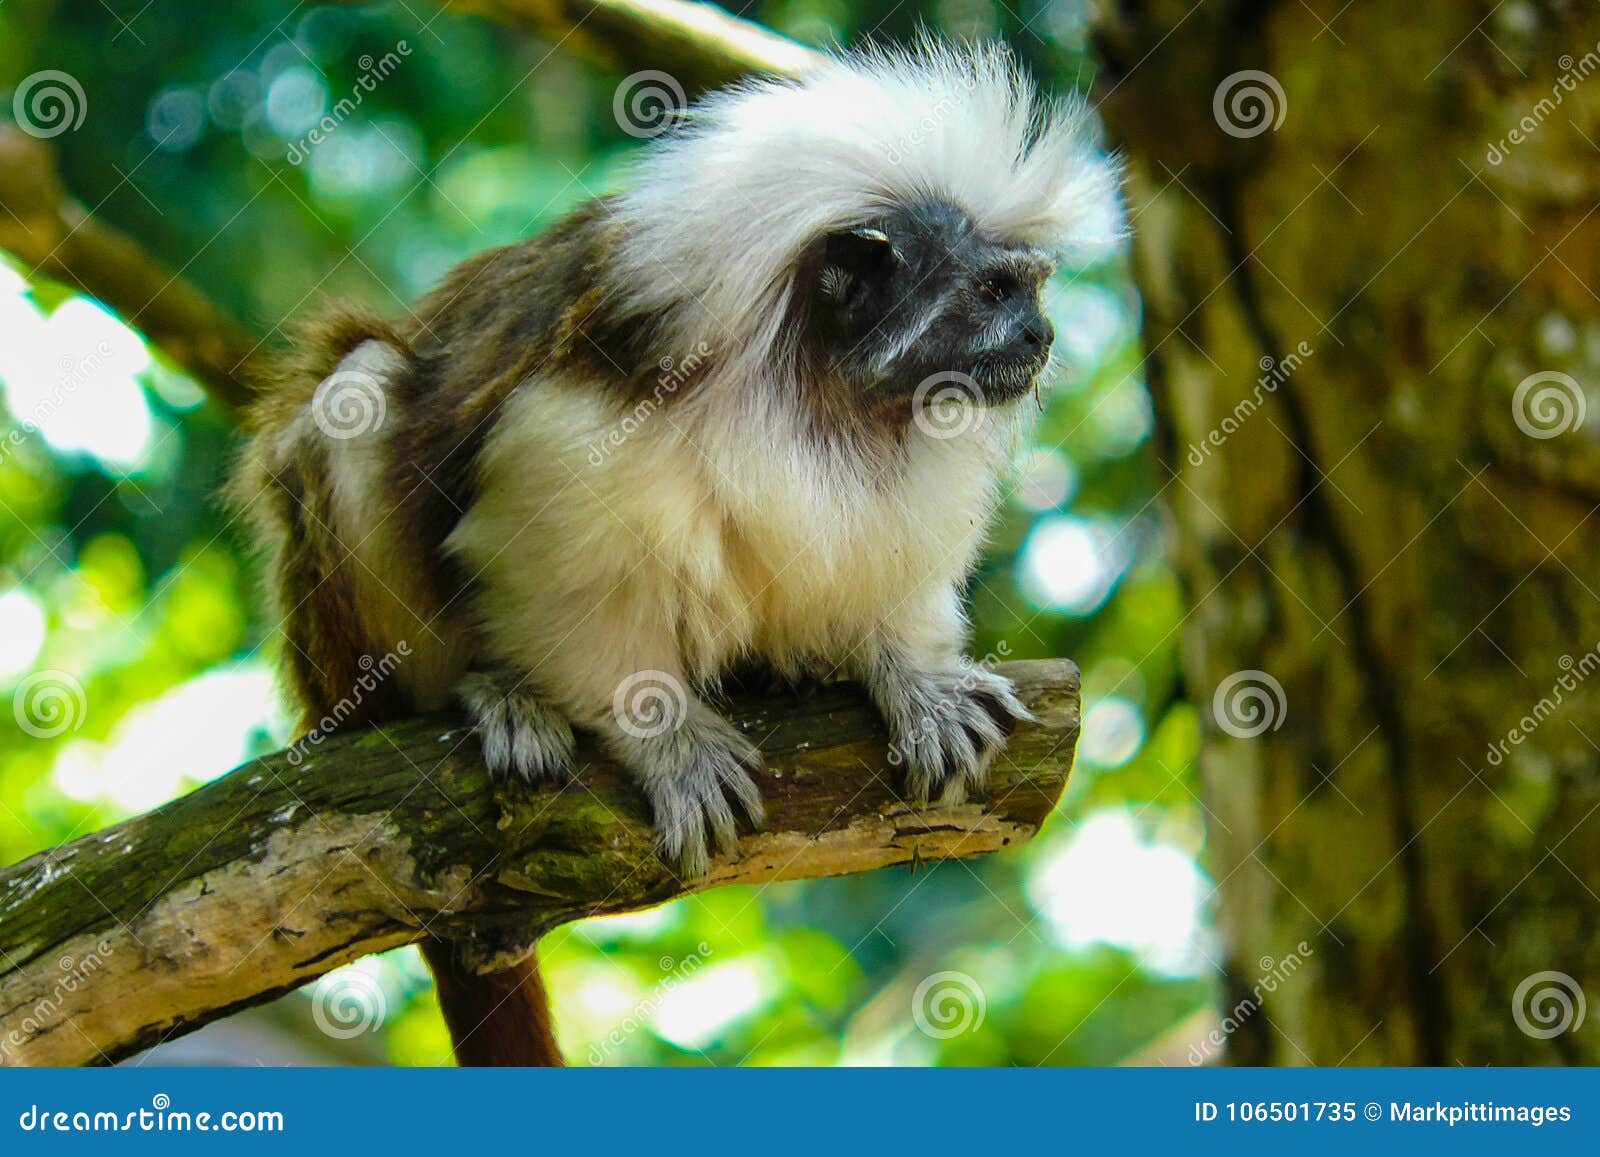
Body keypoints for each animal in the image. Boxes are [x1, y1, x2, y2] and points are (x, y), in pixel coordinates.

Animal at [230, 43, 1114, 1066]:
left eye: (1032, 287)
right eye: (991, 293)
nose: (1042, 336)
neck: (814, 386)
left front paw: (916, 679)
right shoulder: (591, 418)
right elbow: (548, 573)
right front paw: (667, 737)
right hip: (341, 669)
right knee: (360, 387)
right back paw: (489, 693)